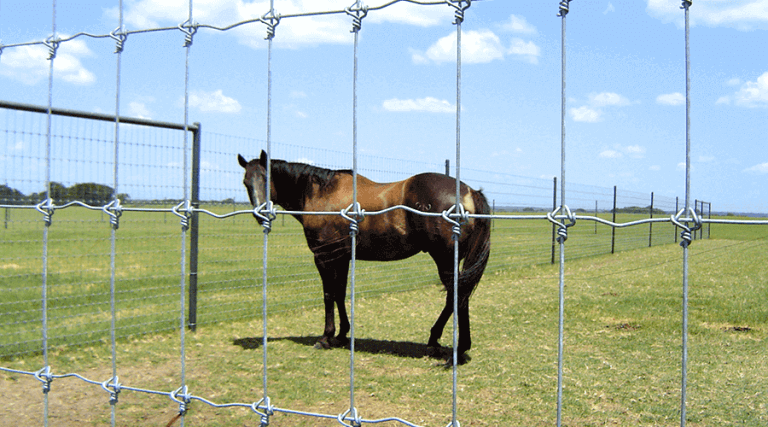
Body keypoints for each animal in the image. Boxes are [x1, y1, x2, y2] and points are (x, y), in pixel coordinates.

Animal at [238, 150, 491, 360]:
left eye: (266, 178)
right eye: (245, 182)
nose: (261, 214)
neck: (322, 193)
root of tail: (469, 192)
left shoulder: (324, 256)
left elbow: (329, 295)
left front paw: (326, 337)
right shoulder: (342, 257)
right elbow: (340, 293)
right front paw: (341, 334)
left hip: (444, 260)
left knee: (457, 297)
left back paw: (453, 345)